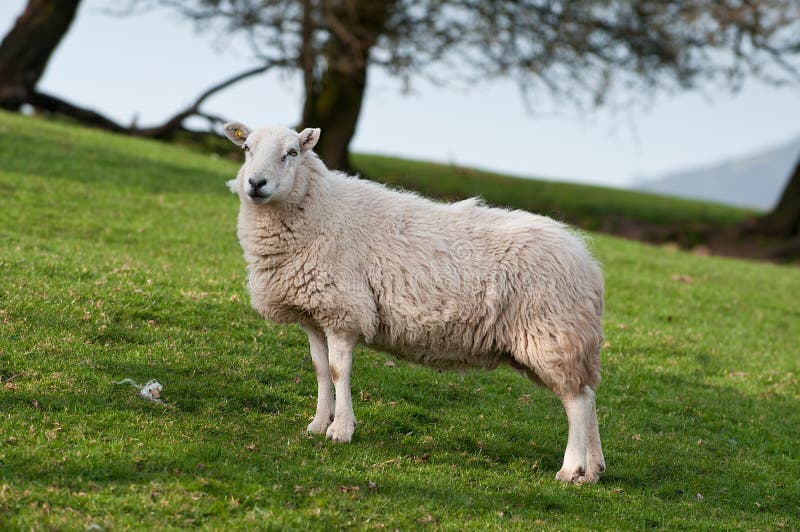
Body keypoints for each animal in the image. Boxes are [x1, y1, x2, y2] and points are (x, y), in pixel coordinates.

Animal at [223, 121, 606, 484]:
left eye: (291, 152)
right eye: (246, 148)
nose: (256, 183)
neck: (321, 210)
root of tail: (587, 262)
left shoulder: (344, 311)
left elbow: (338, 371)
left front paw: (340, 430)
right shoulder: (315, 316)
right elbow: (320, 370)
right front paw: (318, 424)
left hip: (551, 332)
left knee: (577, 401)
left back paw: (570, 469)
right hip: (562, 338)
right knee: (588, 395)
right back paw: (593, 470)